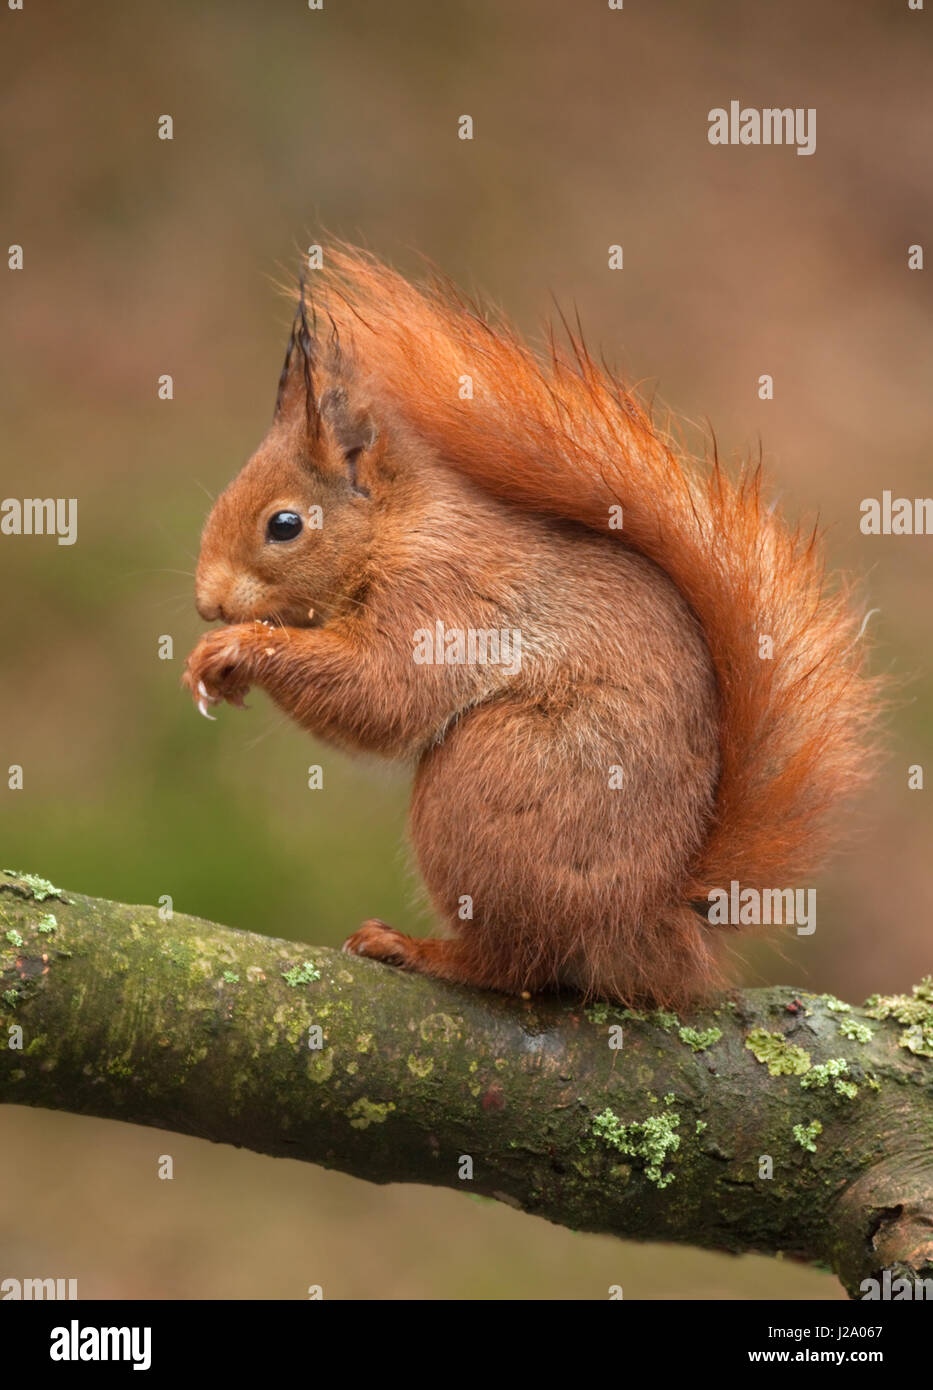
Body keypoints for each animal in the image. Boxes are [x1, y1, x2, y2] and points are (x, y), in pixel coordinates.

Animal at [183, 247, 881, 1009]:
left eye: (285, 525)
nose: (207, 602)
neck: (395, 529)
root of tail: (651, 926)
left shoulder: (440, 596)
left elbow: (382, 695)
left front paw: (237, 648)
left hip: (491, 780)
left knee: (517, 964)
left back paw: (423, 951)